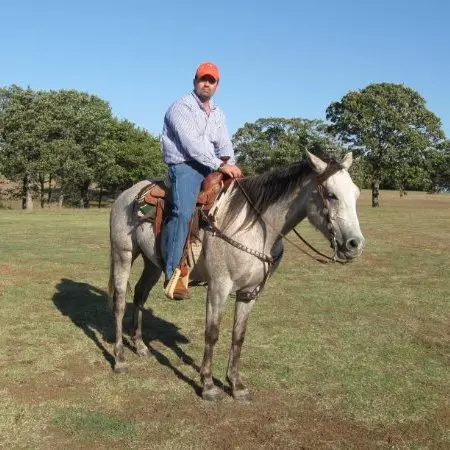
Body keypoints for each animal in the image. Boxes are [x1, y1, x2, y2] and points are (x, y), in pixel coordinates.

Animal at [110, 152, 366, 400]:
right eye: (332, 195)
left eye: (355, 194)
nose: (355, 244)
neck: (253, 228)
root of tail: (128, 194)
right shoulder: (219, 287)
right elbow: (212, 333)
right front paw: (208, 385)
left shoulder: (249, 293)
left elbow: (238, 335)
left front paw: (236, 384)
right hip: (123, 254)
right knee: (120, 302)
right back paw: (120, 359)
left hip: (152, 263)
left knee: (140, 295)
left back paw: (140, 346)